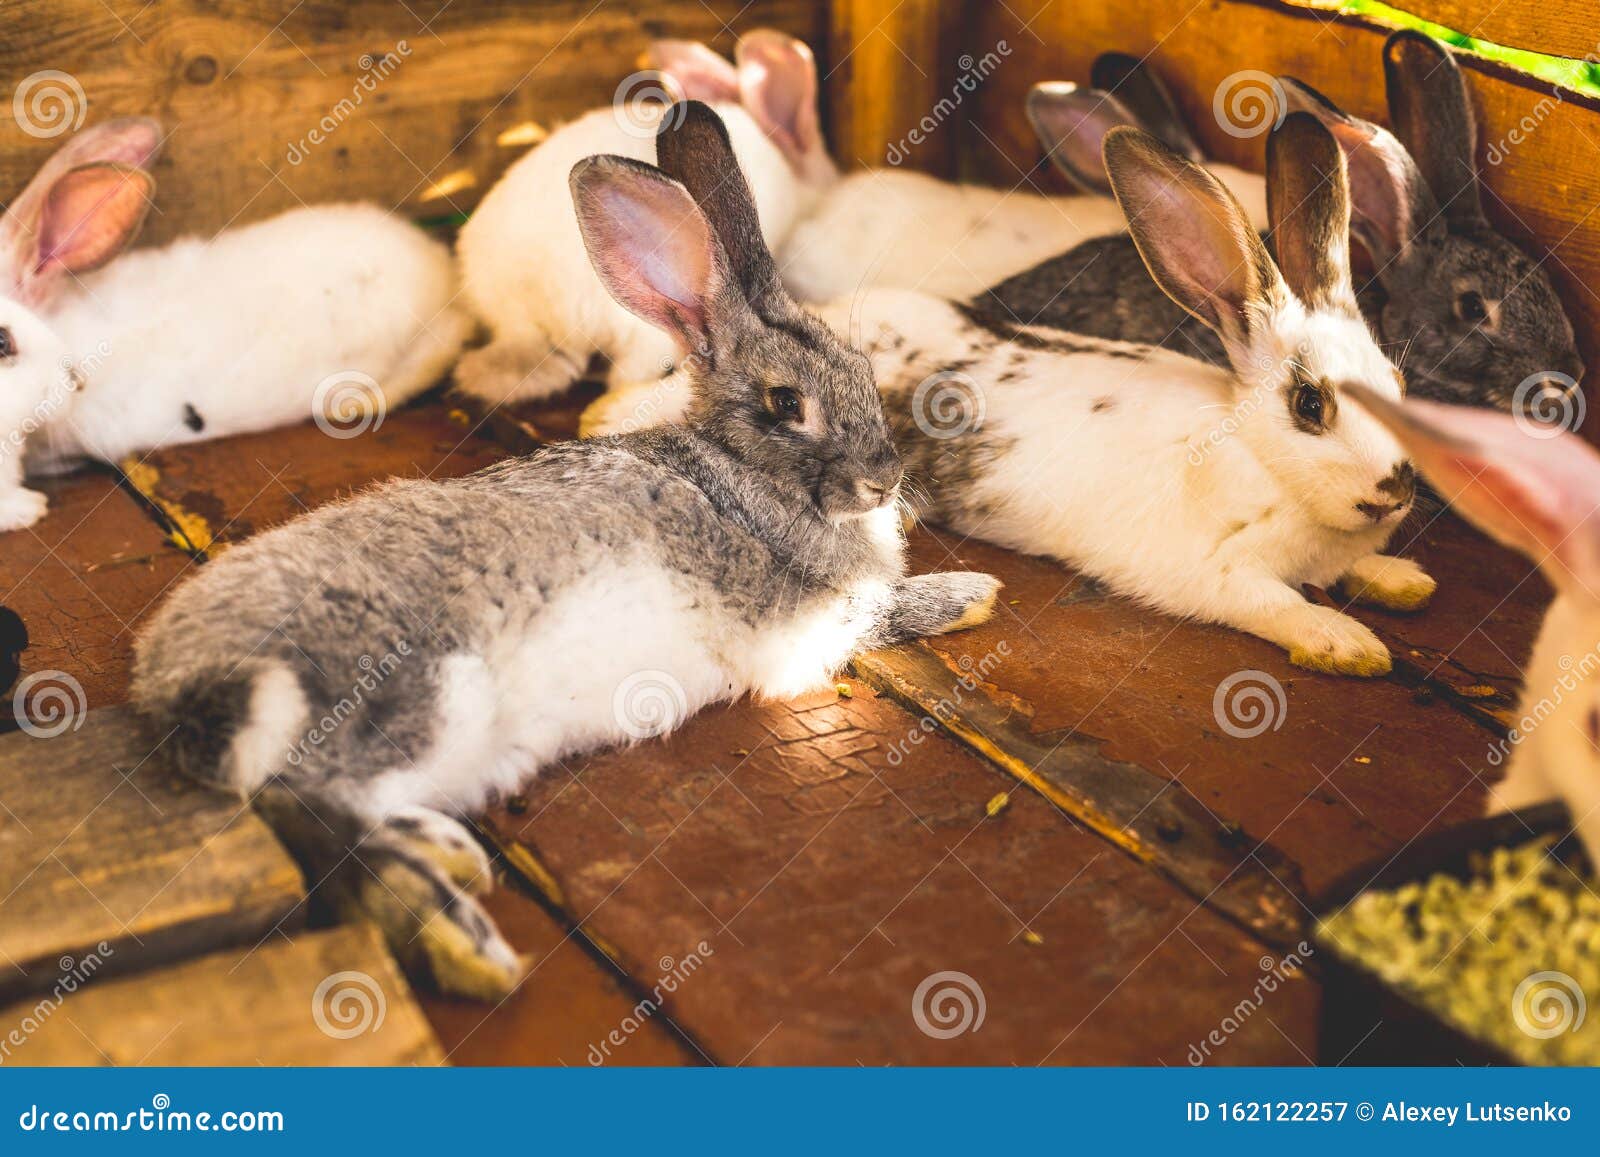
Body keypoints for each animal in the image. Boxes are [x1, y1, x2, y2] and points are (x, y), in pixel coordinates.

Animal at [130, 102, 1001, 999]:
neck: (741, 469)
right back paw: (458, 934)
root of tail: (182, 678)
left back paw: (445, 855)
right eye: (786, 403)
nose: (884, 479)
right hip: (413, 691)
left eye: (864, 367)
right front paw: (976, 592)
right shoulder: (810, 628)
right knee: (310, 811)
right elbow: (884, 612)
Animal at [590, 115, 1432, 676]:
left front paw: (1401, 580)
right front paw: (1348, 643)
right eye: (1310, 406)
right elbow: (1276, 603)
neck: (1260, 462)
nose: (1398, 488)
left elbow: (1356, 570)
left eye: (1399, 385)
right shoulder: (1214, 572)